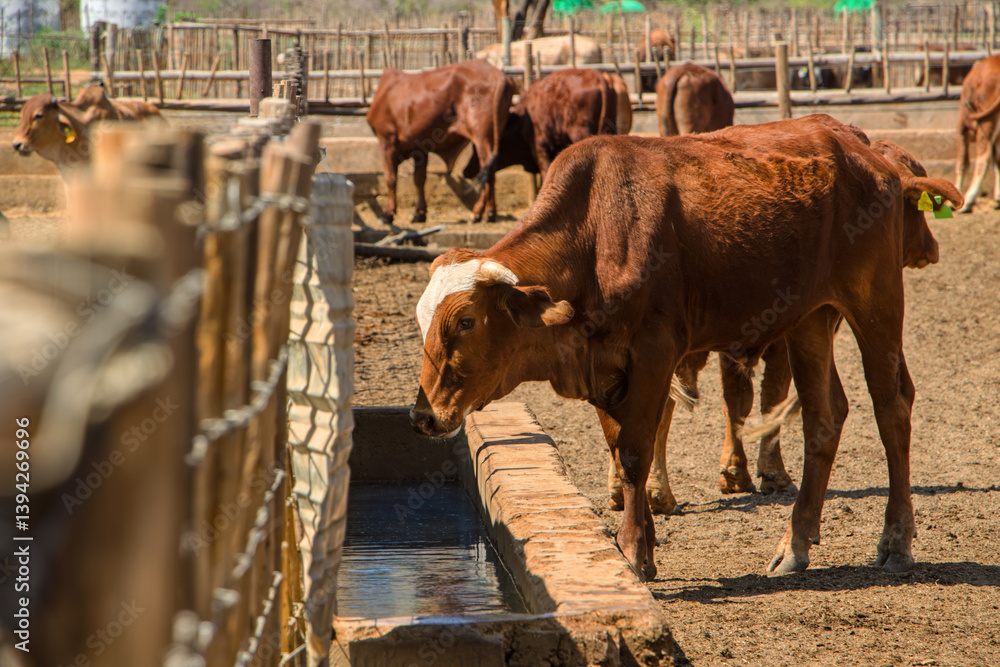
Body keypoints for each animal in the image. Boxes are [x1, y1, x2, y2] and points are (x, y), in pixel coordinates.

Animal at [365, 61, 514, 225]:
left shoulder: (387, 139)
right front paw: (419, 213)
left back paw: (482, 212)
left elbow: (391, 177)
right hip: (492, 135)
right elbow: (419, 179)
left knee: (487, 168)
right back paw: (487, 212)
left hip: (482, 135)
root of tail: (497, 74)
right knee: (490, 169)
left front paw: (388, 214)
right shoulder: (420, 148)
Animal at [606, 136, 960, 514]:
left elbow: (742, 400)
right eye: (920, 208)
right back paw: (656, 491)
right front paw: (765, 472)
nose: (932, 248)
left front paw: (737, 470)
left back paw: (623, 488)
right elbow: (763, 395)